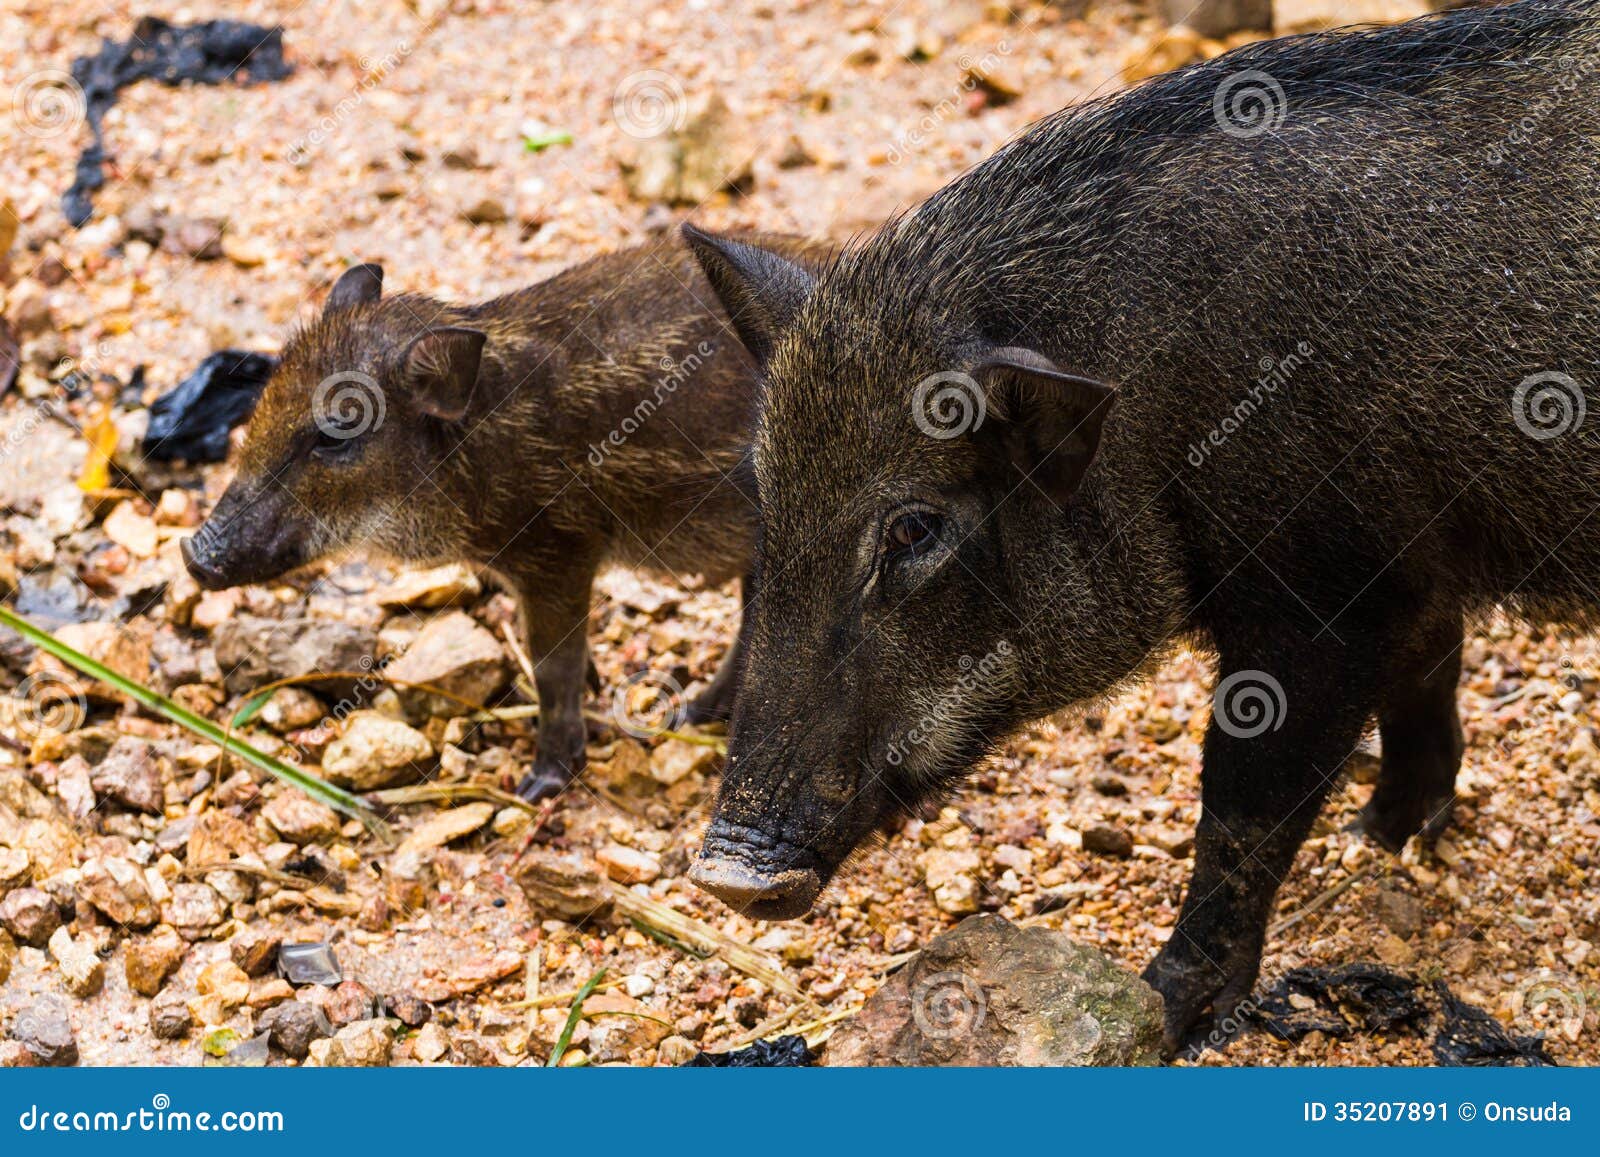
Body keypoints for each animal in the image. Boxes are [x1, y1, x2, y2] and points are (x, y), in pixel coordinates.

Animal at [182, 234, 824, 800]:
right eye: (266, 396)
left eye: (337, 434)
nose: (194, 554)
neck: (479, 445)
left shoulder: (559, 553)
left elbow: (553, 666)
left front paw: (540, 783)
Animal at [681, 0, 1600, 1050]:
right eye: (765, 506)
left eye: (913, 529)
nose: (728, 874)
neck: (1159, 410)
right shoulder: (1410, 566)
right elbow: (1427, 673)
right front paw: (1385, 836)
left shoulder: (1323, 602)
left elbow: (1244, 803)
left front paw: (1167, 1007)